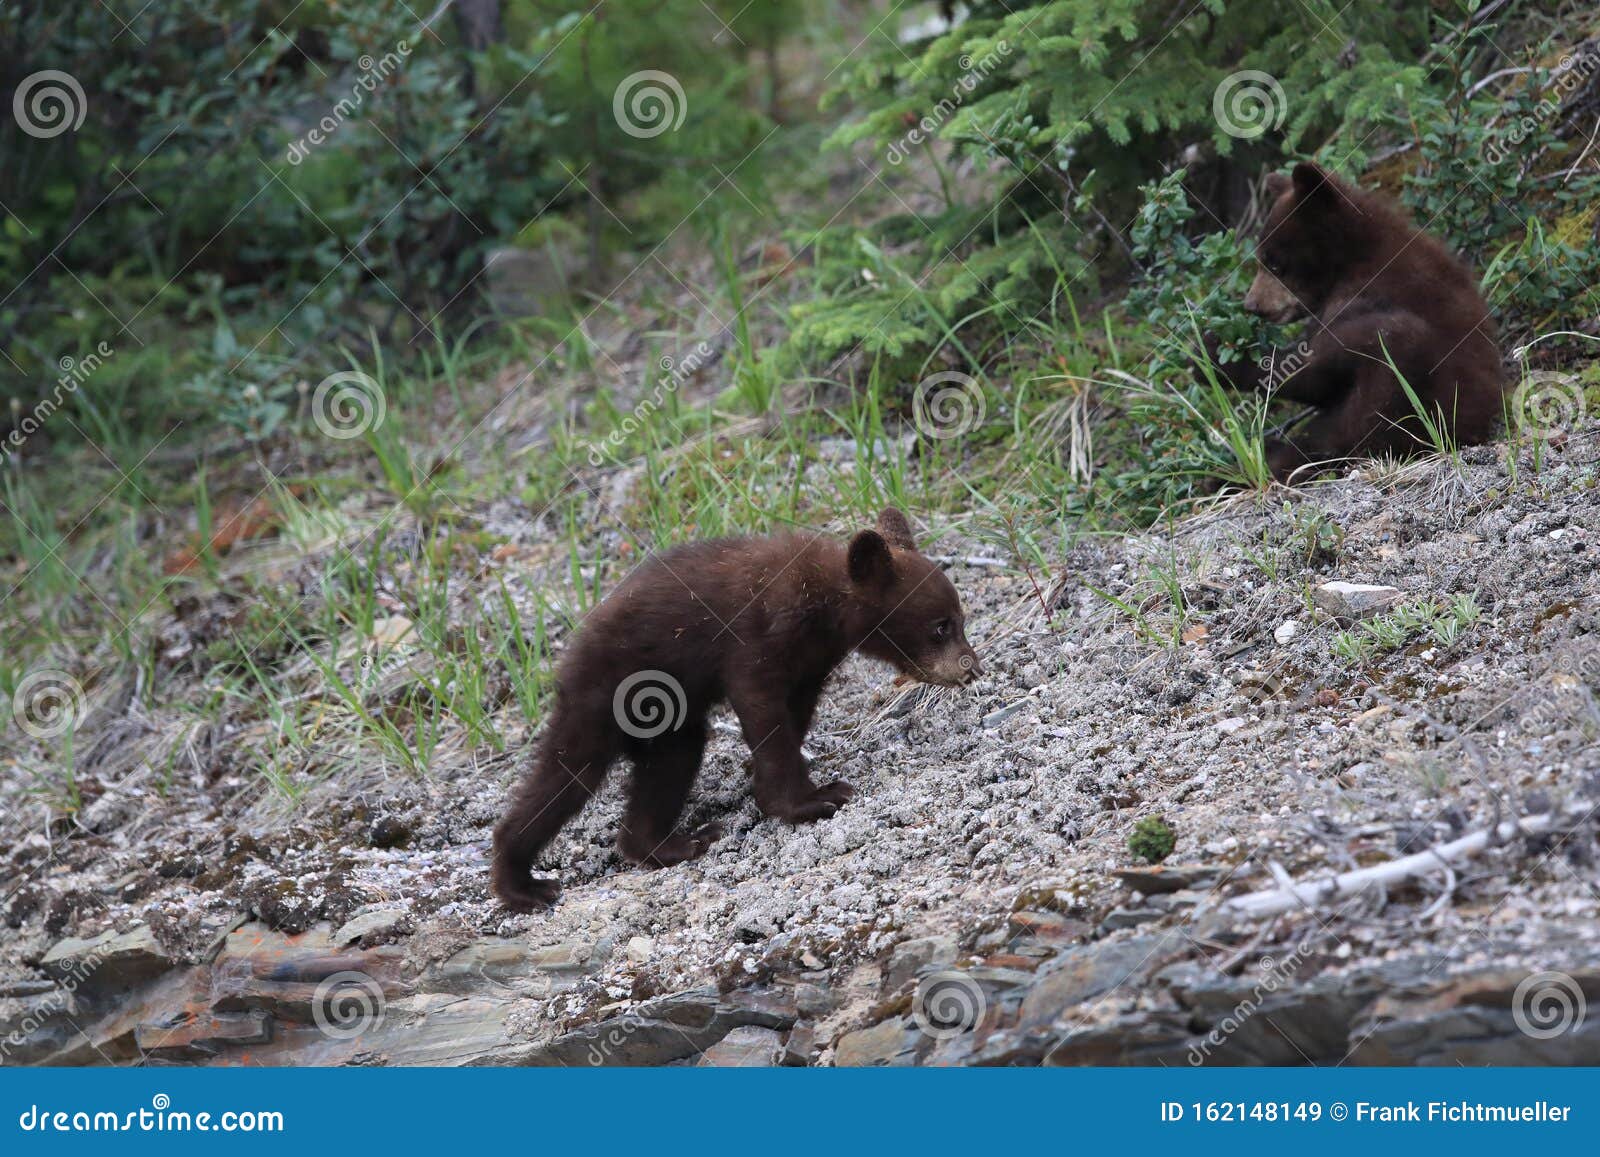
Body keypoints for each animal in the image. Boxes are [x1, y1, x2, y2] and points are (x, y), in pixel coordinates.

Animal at [490, 507, 983, 912]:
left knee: (672, 761)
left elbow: (795, 712)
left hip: (666, 720)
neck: (822, 602)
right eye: (941, 625)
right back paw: (522, 883)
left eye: (960, 618)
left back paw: (672, 844)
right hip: (606, 693)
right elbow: (762, 709)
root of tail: (571, 651)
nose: (972, 668)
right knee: (566, 774)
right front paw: (812, 798)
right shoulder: (755, 636)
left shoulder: (811, 661)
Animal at [1205, 162, 1505, 480]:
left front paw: (1213, 353)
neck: (1351, 259)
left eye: (1273, 263)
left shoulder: (1358, 299)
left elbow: (1317, 370)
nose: (1252, 305)